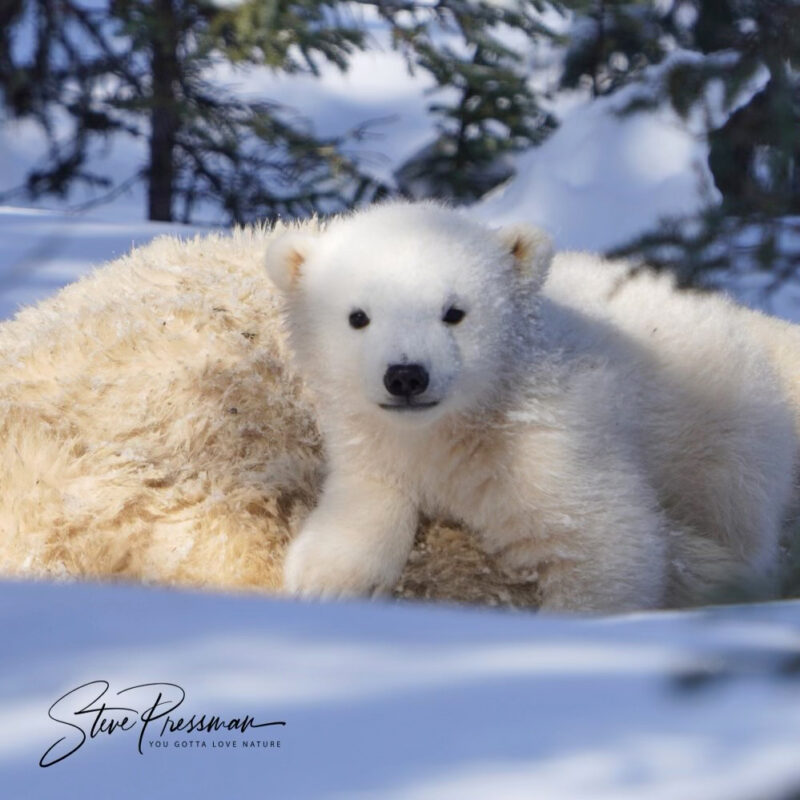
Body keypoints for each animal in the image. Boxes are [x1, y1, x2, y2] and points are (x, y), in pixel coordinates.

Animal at [266, 201, 800, 612]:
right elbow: (365, 493)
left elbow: (603, 544)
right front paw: (325, 581)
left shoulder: (550, 444)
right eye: (358, 316)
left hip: (726, 440)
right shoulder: (375, 440)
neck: (461, 426)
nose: (406, 375)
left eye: (454, 312)